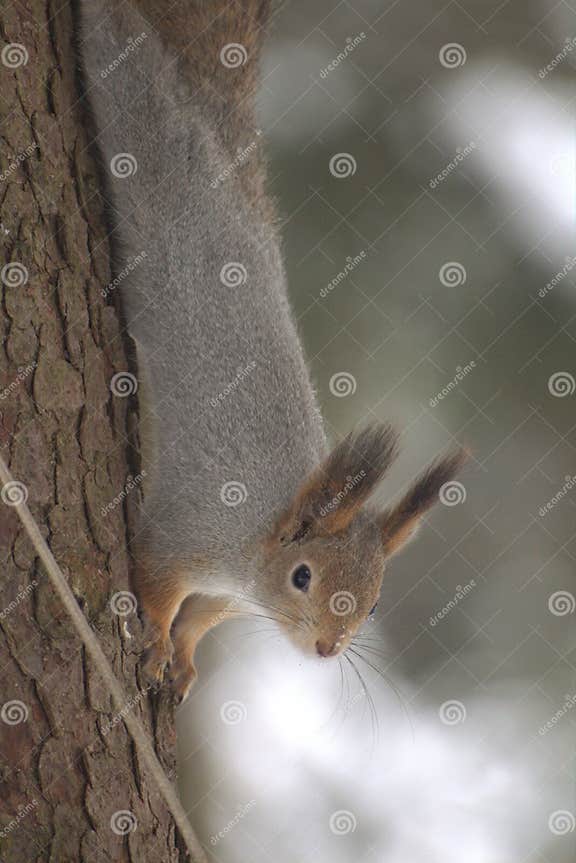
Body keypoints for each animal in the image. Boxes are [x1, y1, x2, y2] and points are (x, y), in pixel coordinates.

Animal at [79, 0, 466, 703]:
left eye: (373, 601)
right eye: (303, 577)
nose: (325, 650)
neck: (259, 542)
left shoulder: (228, 597)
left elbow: (199, 619)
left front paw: (184, 659)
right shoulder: (187, 530)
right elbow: (155, 583)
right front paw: (156, 637)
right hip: (146, 130)